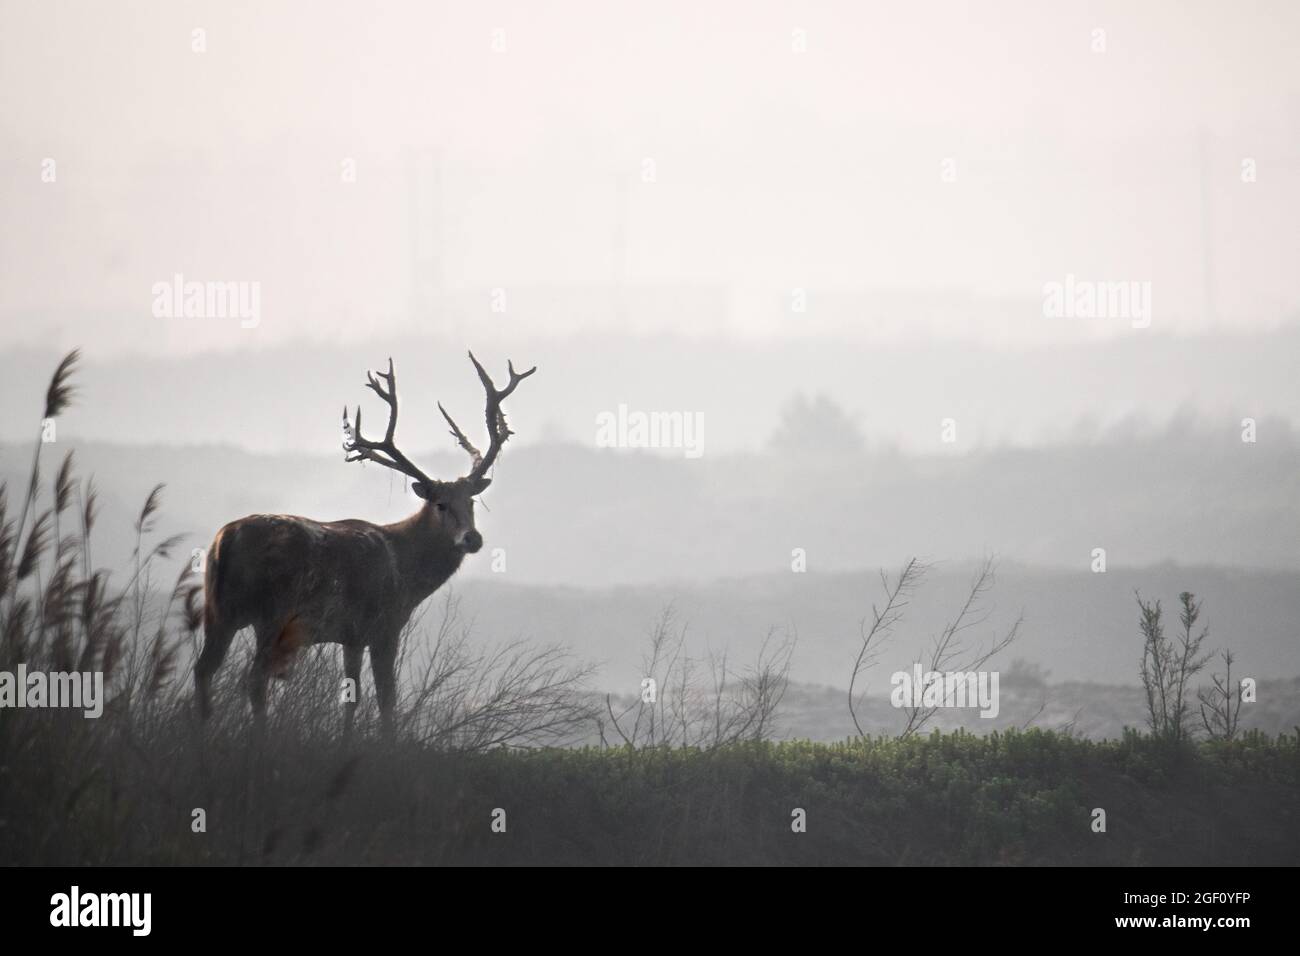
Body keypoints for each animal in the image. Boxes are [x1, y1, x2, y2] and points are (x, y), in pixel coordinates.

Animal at [194, 351, 536, 735]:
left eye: (472, 501)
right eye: (440, 503)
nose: (471, 538)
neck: (407, 576)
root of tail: (226, 540)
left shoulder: (352, 635)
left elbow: (351, 698)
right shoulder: (384, 625)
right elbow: (387, 698)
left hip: (219, 609)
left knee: (204, 670)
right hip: (274, 611)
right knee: (252, 678)